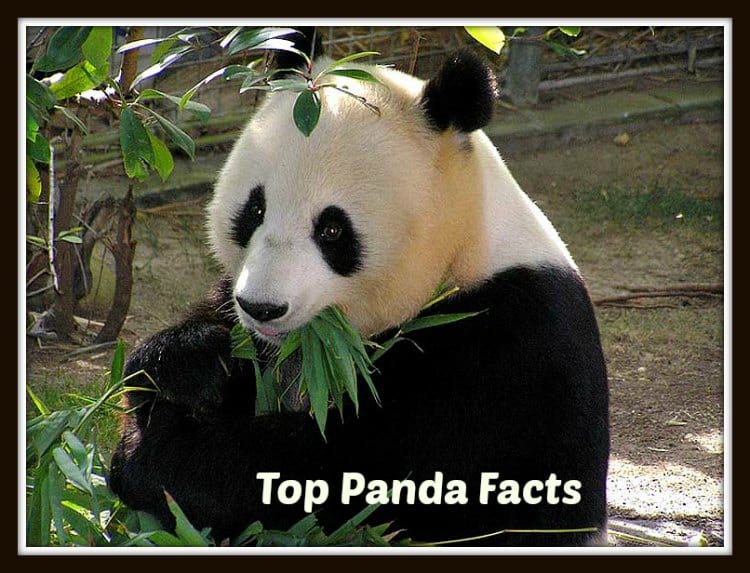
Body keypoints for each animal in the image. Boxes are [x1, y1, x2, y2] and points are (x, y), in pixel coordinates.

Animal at [109, 29, 609, 547]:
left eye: (332, 230)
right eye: (255, 210)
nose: (262, 308)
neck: (460, 253)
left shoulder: (507, 343)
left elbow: (359, 472)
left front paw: (156, 459)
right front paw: (191, 365)